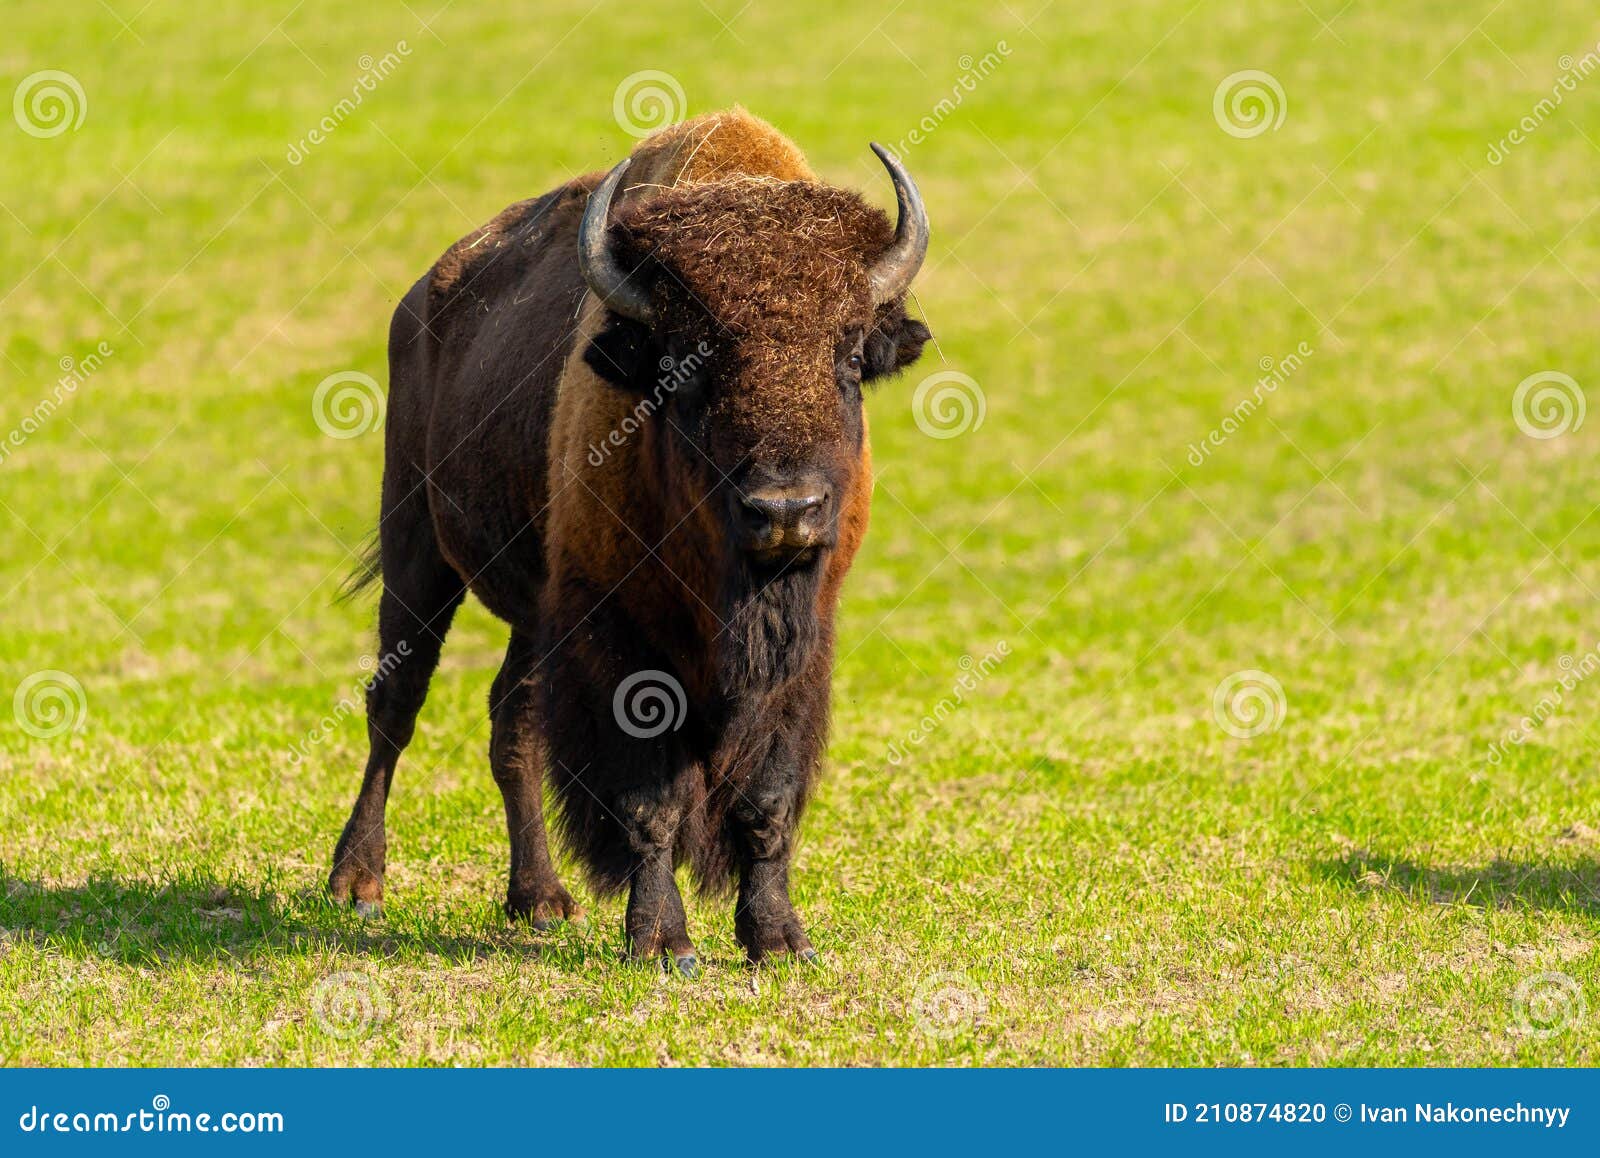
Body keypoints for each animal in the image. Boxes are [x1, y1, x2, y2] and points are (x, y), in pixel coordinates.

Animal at [329, 108, 931, 973]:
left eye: (849, 357)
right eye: (685, 364)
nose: (785, 509)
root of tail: (424, 300)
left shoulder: (803, 638)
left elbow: (768, 798)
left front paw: (778, 940)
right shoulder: (618, 632)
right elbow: (651, 800)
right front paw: (662, 941)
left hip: (532, 608)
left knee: (513, 723)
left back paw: (541, 900)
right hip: (416, 546)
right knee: (396, 704)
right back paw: (358, 884)